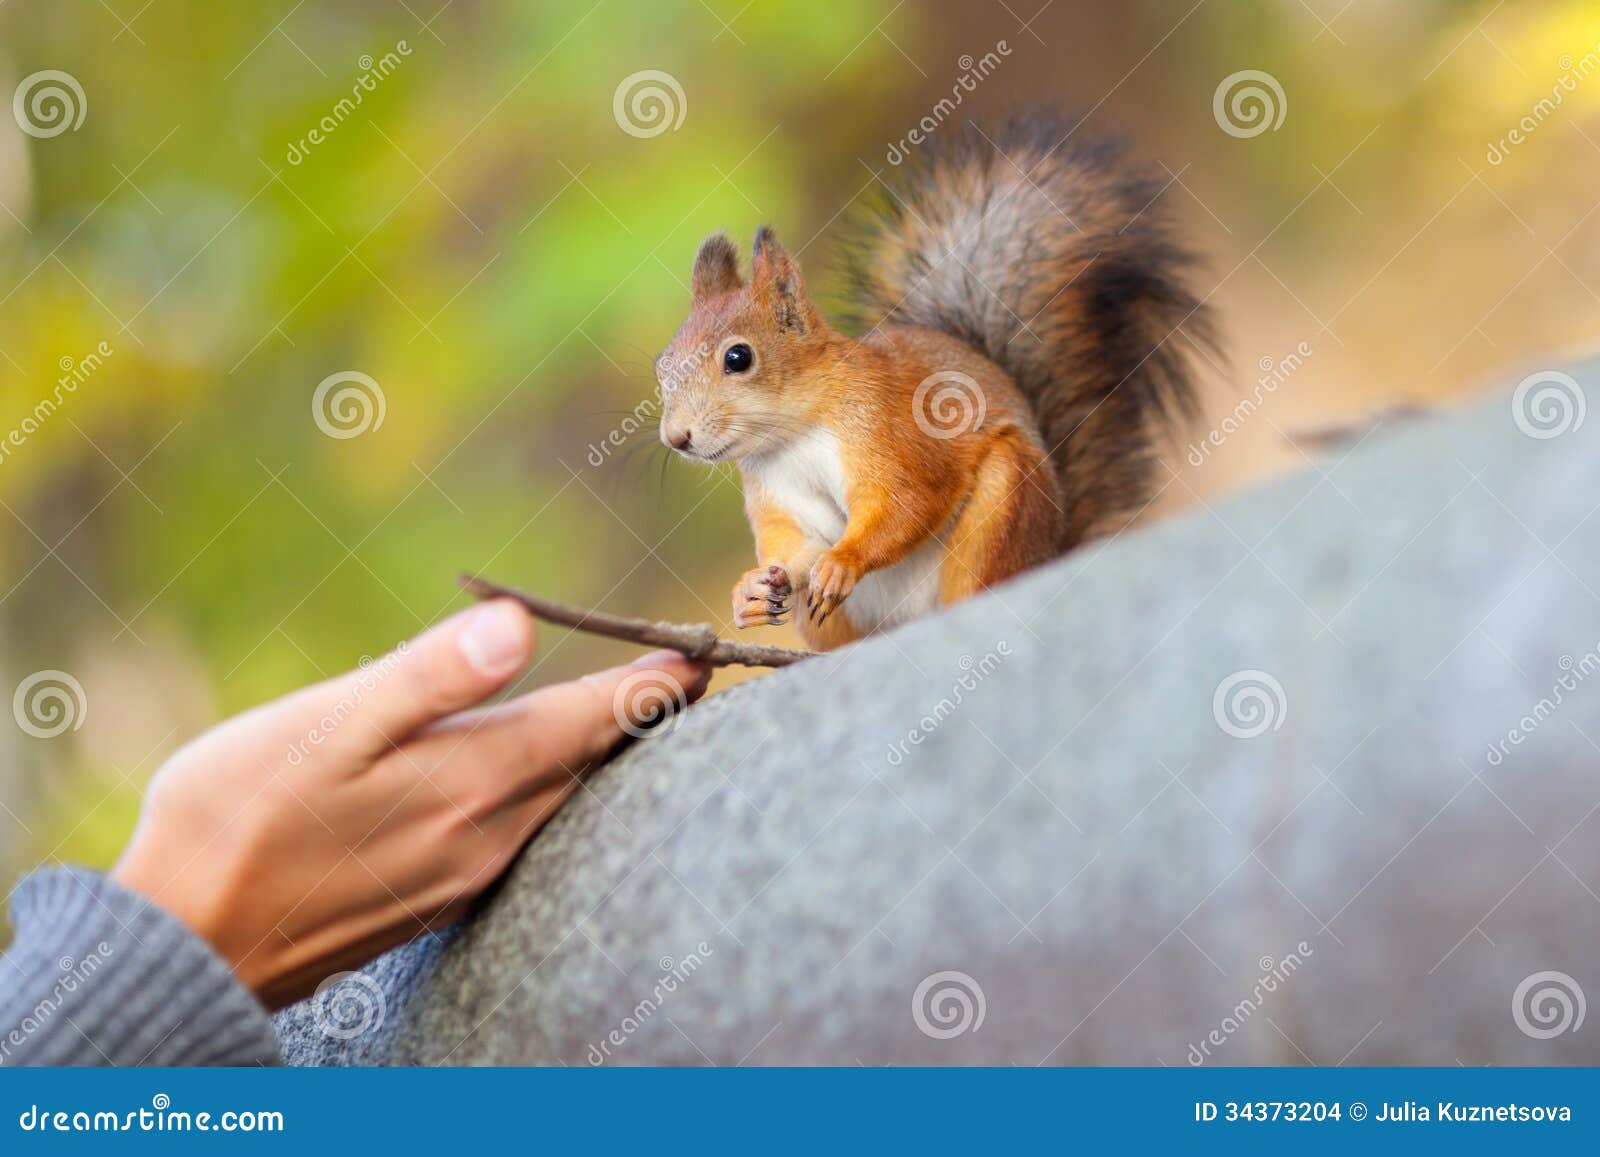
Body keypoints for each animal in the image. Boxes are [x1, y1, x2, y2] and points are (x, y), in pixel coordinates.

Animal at [655, 112, 1214, 652]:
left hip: (1000, 511)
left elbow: (909, 502)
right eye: (662, 367)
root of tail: (1051, 550)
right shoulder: (776, 495)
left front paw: (842, 561)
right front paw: (748, 592)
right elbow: (793, 549)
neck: (793, 434)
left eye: (738, 357)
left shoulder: (892, 434)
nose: (676, 438)